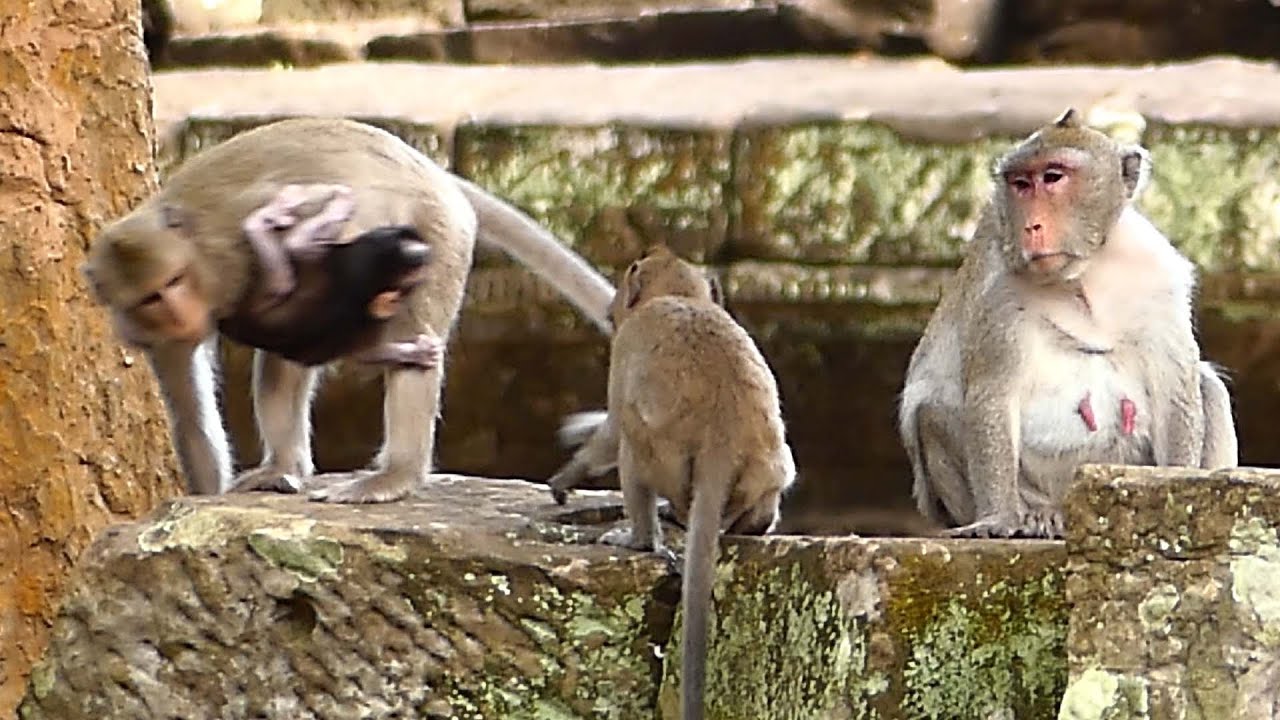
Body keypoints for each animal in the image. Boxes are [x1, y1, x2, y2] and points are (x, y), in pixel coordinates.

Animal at [83, 117, 616, 502]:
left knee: (397, 333)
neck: (198, 260)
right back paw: (285, 467)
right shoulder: (153, 332)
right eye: (151, 297)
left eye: (173, 282)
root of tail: (432, 169)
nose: (179, 311)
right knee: (282, 361)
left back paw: (396, 473)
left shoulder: (232, 250)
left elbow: (325, 216)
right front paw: (205, 494)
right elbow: (190, 410)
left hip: (441, 232)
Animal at [554, 245, 795, 720]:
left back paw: (640, 538)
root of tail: (724, 437)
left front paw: (567, 477)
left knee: (631, 441)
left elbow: (613, 428)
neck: (681, 297)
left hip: (660, 457)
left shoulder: (625, 348)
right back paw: (750, 525)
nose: (613, 312)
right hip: (768, 473)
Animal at [898, 108, 1239, 540]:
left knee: (1208, 386)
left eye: (1053, 177)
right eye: (1021, 184)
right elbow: (992, 396)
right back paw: (1039, 517)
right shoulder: (1000, 293)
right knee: (931, 410)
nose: (1031, 227)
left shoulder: (1160, 279)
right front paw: (998, 518)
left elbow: (1176, 390)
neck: (1083, 274)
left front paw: (1174, 492)